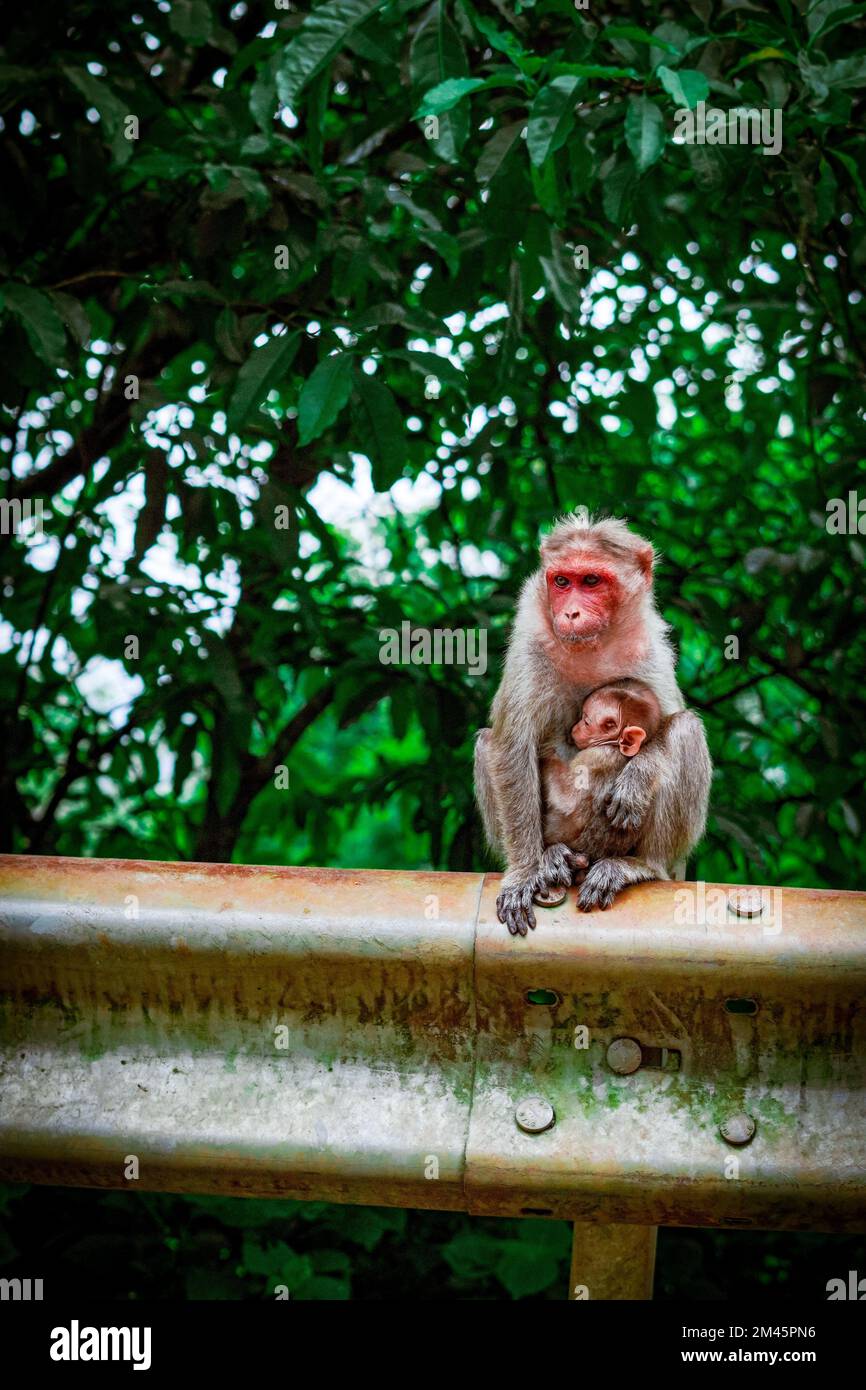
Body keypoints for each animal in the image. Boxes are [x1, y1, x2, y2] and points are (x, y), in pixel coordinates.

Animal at [474, 514, 711, 935]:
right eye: (562, 582)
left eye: (591, 581)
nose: (570, 613)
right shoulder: (529, 643)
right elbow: (511, 746)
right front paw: (523, 873)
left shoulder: (650, 647)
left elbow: (663, 723)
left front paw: (639, 773)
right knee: (488, 744)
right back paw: (551, 857)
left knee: (687, 730)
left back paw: (642, 866)